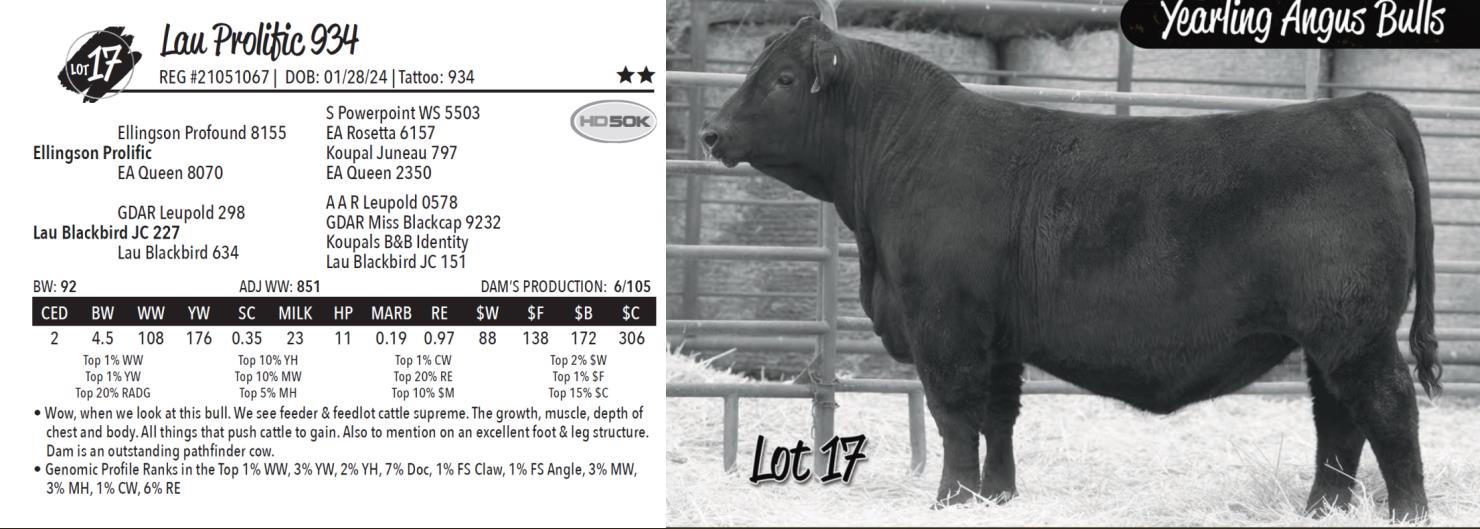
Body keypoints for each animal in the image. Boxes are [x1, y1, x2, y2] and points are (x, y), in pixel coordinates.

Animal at [701, 17, 1442, 522]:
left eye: (784, 79)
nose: (711, 133)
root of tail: (1358, 107)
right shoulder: (998, 336)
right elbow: (999, 416)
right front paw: (998, 496)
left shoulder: (944, 322)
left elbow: (955, 414)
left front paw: (952, 499)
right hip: (1331, 335)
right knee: (1338, 418)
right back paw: (1322, 509)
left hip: (1353, 328)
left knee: (1386, 406)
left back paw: (1408, 511)